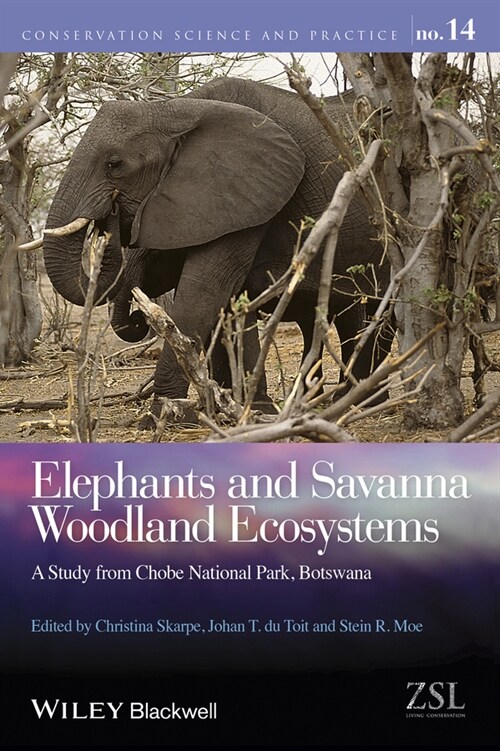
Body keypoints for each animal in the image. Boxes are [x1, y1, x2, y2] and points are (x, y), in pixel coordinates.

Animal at [42, 76, 391, 420]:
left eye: (114, 164)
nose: (111, 214)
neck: (174, 109)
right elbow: (230, 303)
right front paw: (241, 409)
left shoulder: (248, 188)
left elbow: (204, 292)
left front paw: (164, 416)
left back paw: (359, 402)